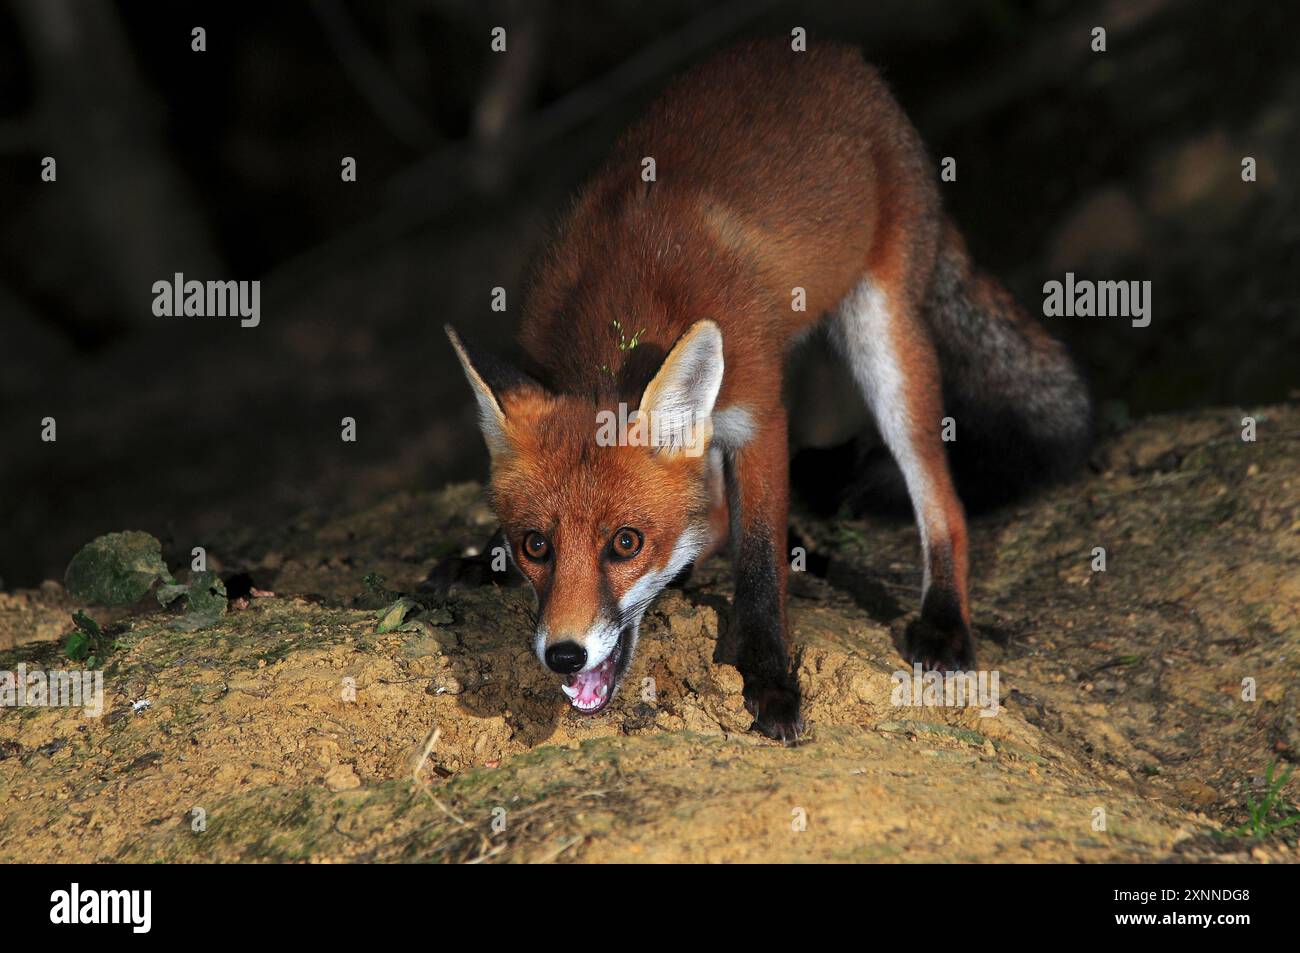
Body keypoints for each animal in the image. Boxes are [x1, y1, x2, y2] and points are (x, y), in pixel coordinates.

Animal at [445, 39, 1090, 741]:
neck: (617, 321)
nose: (564, 654)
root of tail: (837, 56)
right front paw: (482, 563)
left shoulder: (759, 416)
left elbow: (758, 562)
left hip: (882, 335)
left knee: (943, 500)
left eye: (626, 543)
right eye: (535, 545)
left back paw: (944, 620)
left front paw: (769, 680)